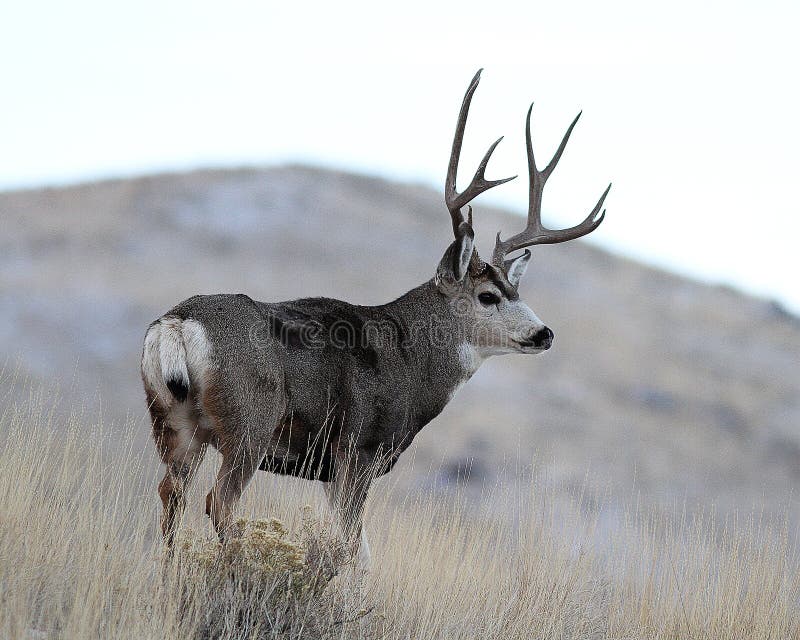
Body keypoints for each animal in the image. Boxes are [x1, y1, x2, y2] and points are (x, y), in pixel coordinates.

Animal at [141, 69, 610, 567]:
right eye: (487, 296)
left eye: (516, 290)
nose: (544, 333)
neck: (410, 361)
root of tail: (177, 322)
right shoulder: (359, 449)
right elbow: (351, 551)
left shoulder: (329, 471)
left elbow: (361, 555)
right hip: (250, 421)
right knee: (219, 501)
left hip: (174, 422)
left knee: (171, 495)